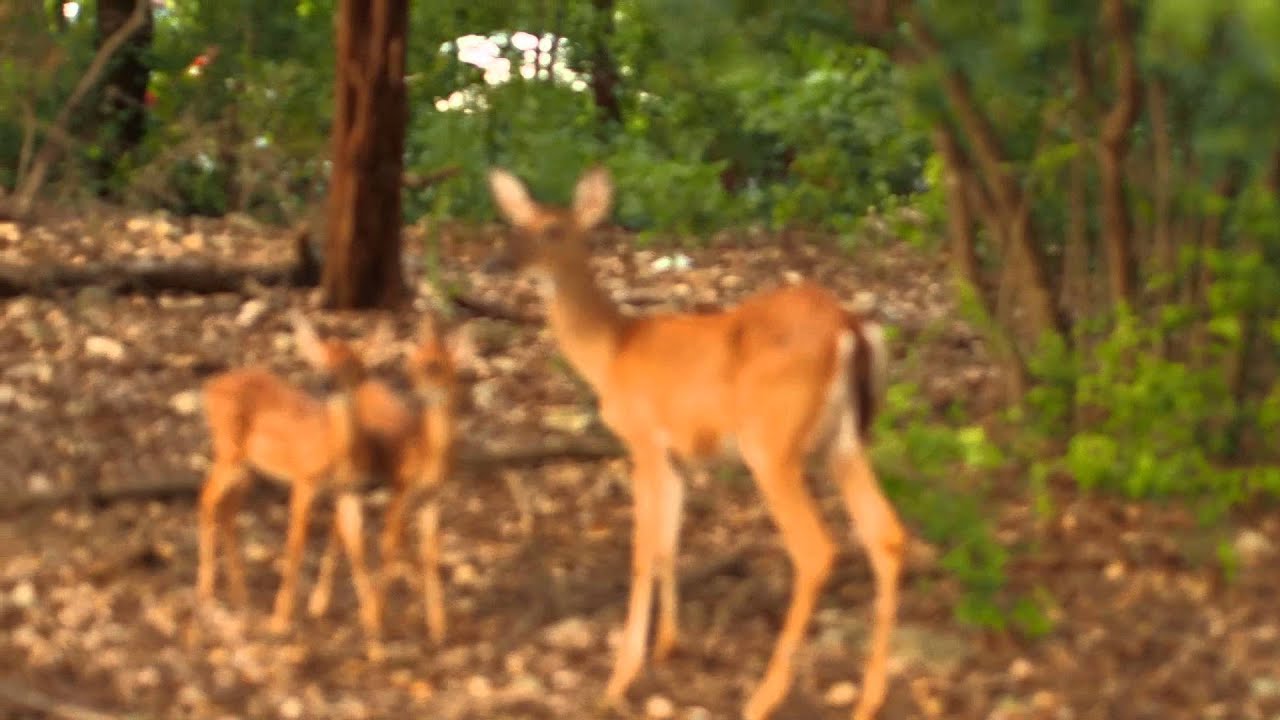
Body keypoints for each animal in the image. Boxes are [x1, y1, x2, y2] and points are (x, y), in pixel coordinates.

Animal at [195, 311, 382, 649]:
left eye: (353, 364)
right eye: (322, 360)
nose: (327, 383)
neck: (332, 448)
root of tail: (209, 387)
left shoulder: (347, 490)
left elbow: (356, 544)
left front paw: (373, 621)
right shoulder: (303, 480)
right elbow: (296, 542)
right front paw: (279, 621)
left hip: (246, 466)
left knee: (226, 509)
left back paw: (240, 595)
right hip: (228, 450)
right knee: (206, 498)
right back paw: (206, 593)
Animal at [304, 315, 474, 646]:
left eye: (434, 365)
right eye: (411, 362)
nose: (408, 385)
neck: (428, 454)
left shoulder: (432, 497)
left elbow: (430, 553)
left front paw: (438, 627)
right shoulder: (401, 488)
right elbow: (388, 545)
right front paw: (378, 616)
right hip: (354, 480)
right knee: (339, 527)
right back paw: (318, 604)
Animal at [487, 166, 904, 720]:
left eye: (554, 230)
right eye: (515, 223)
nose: (497, 261)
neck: (612, 353)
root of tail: (849, 327)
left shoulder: (642, 438)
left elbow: (643, 551)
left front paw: (619, 678)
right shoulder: (676, 455)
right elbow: (670, 542)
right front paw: (669, 646)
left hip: (771, 442)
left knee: (816, 549)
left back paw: (764, 696)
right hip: (845, 441)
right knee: (887, 536)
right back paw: (868, 699)